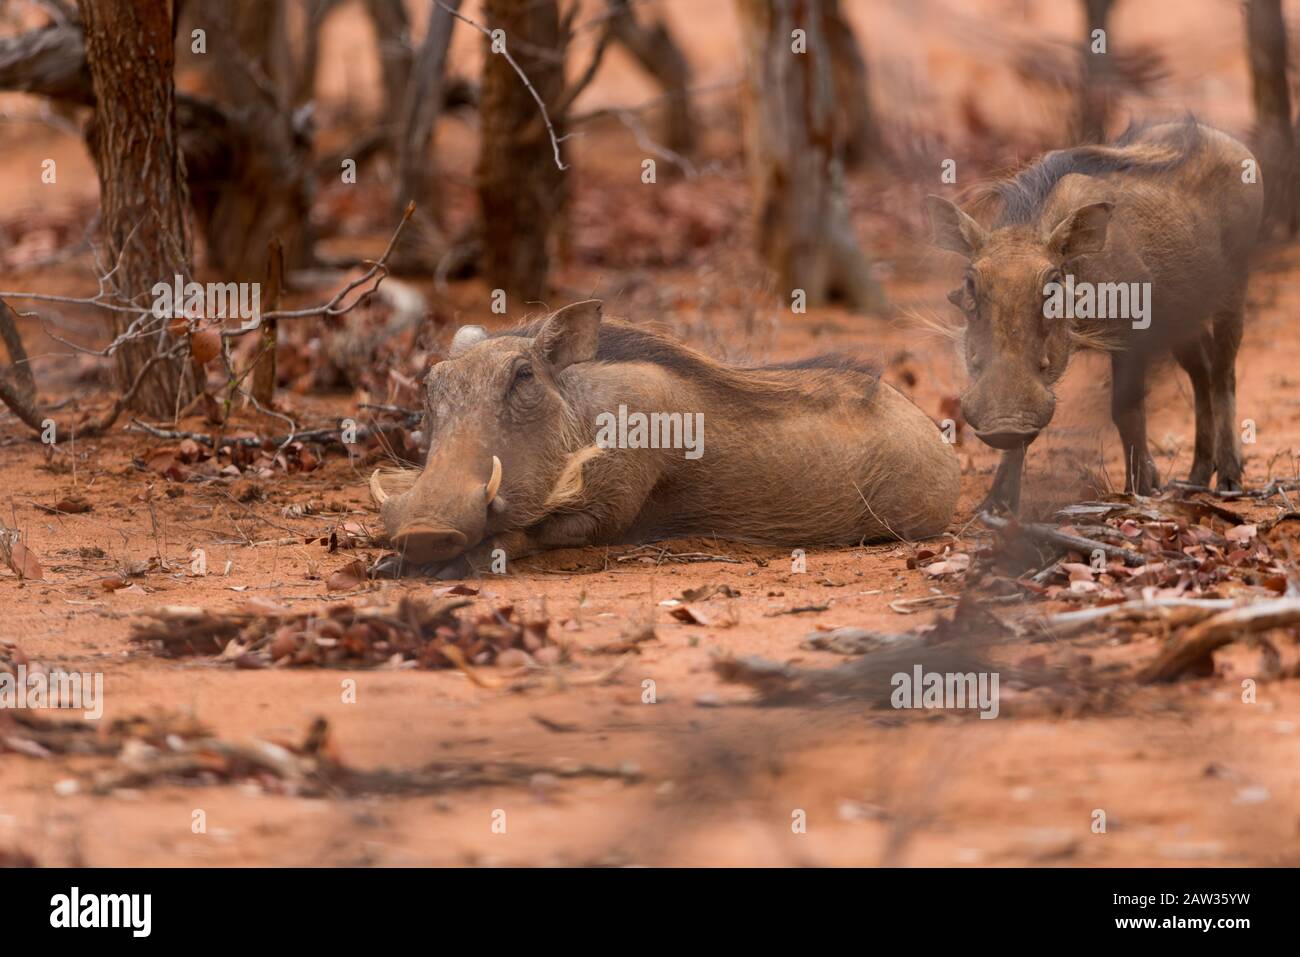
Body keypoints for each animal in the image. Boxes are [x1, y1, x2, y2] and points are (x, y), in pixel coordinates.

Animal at [370, 300, 960, 575]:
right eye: (432, 383)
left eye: (523, 376)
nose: (424, 529)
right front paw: (386, 564)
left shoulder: (608, 512)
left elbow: (525, 534)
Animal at [926, 119, 1262, 510]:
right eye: (970, 282)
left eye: (1053, 284)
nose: (1003, 421)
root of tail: (1232, 142)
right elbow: (1020, 443)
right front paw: (993, 507)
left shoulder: (1133, 335)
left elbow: (1127, 411)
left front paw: (1139, 491)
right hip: (1183, 315)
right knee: (1202, 372)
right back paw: (1195, 477)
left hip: (1234, 288)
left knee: (1224, 373)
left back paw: (1228, 480)